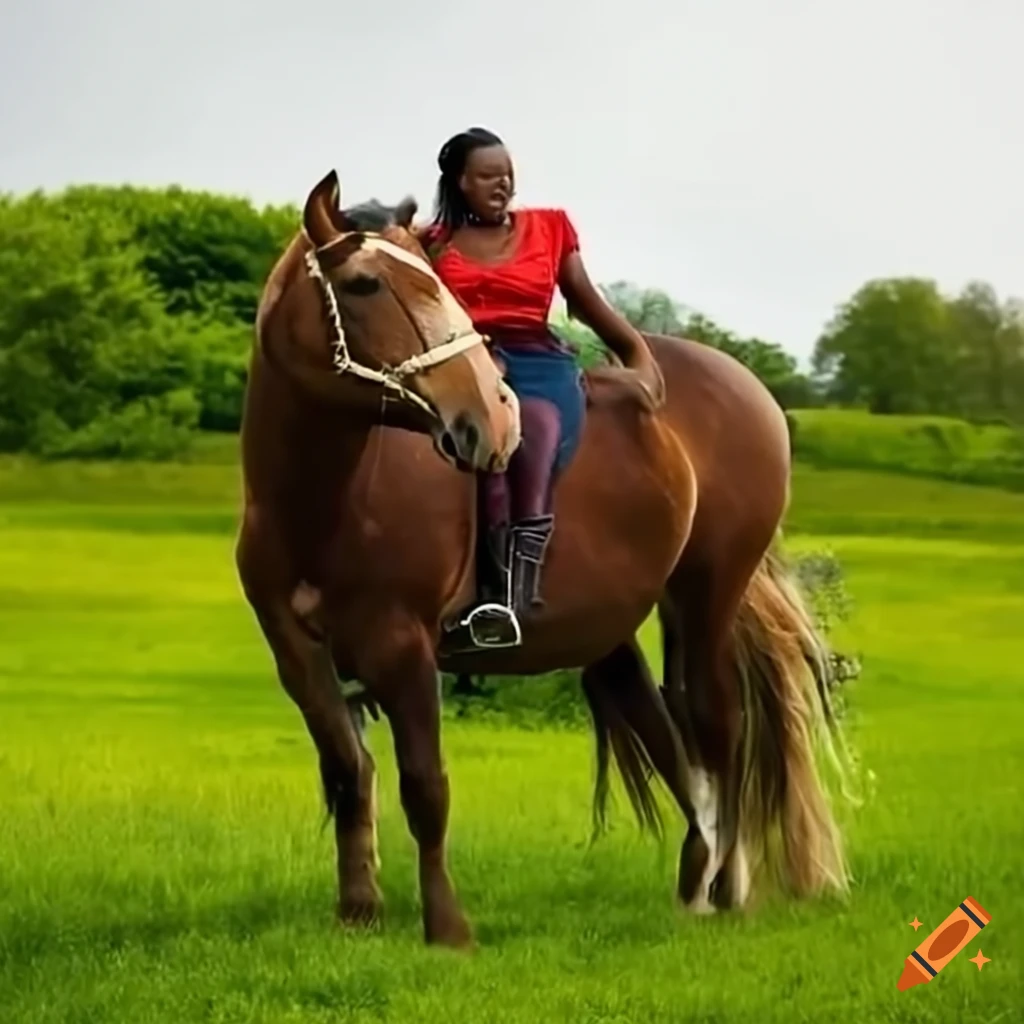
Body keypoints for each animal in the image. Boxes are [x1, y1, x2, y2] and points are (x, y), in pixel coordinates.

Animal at [236, 170, 851, 948]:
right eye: (364, 283)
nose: (492, 416)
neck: (328, 496)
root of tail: (748, 389)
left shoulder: (404, 649)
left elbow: (424, 784)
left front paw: (447, 930)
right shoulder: (297, 652)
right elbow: (348, 769)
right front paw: (358, 913)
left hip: (710, 593)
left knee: (717, 724)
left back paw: (723, 889)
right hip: (628, 623)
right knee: (668, 727)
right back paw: (697, 878)